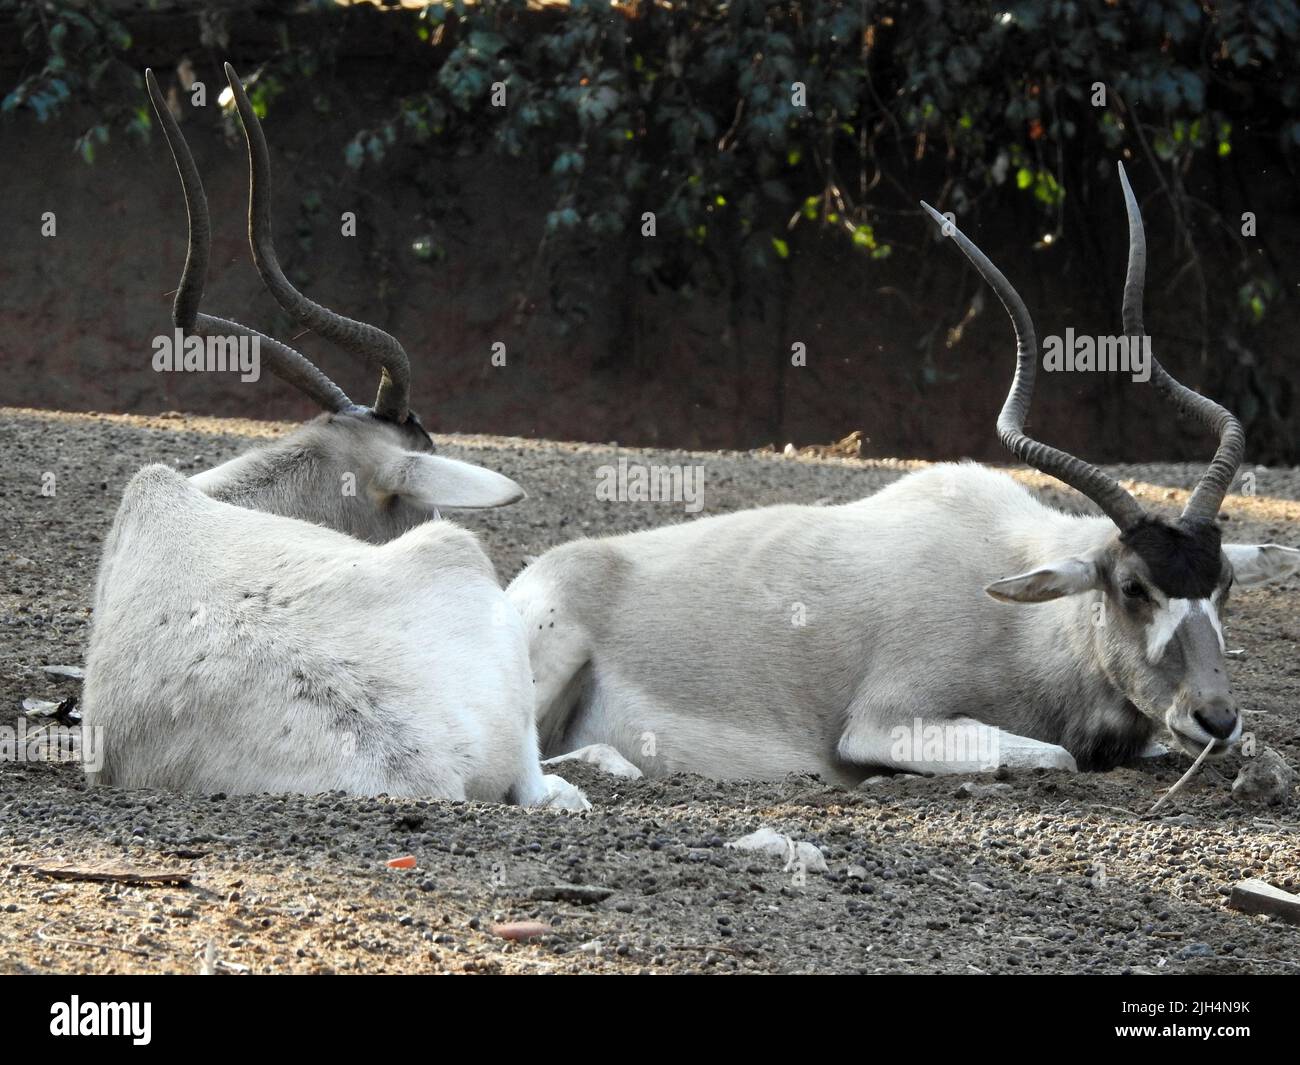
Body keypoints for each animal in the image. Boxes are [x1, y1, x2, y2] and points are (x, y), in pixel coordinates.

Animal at [507, 165, 1299, 781]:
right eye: (1133, 586)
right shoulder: (885, 721)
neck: (1024, 620)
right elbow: (1055, 755)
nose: (1215, 717)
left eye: (1225, 582)